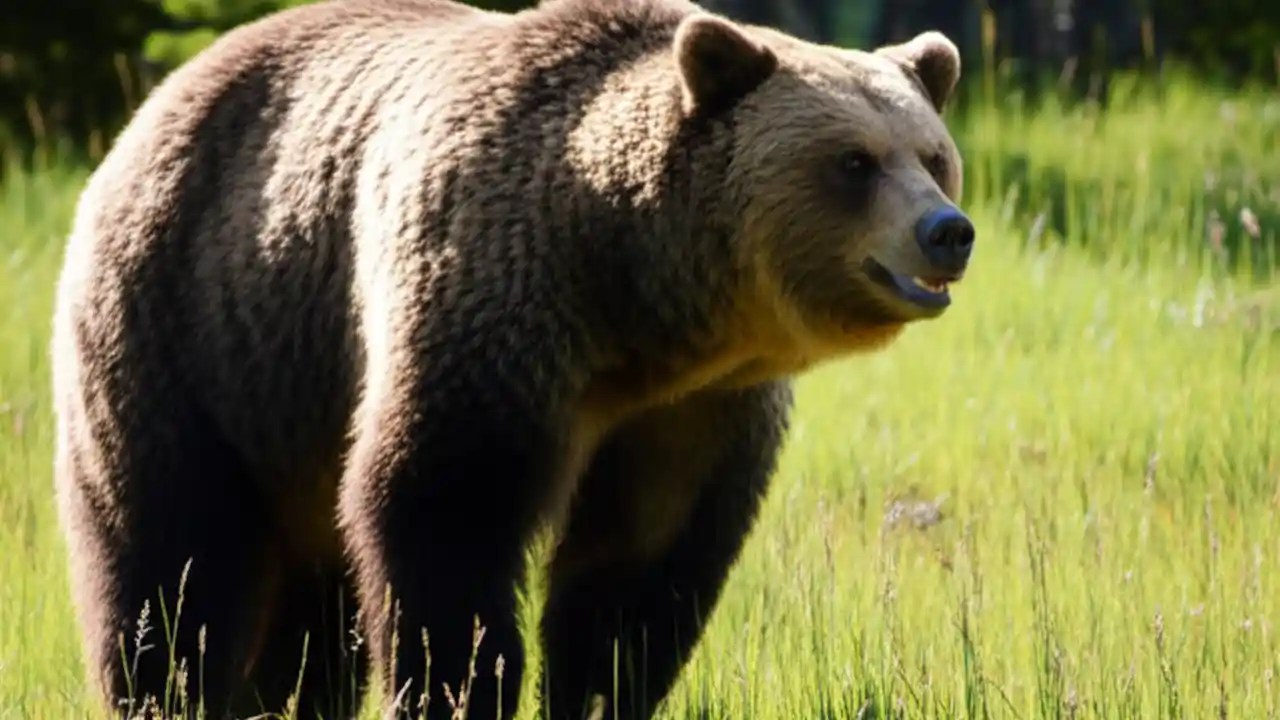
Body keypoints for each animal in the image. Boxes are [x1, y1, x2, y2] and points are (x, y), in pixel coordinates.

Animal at [49, 0, 974, 718]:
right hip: (189, 328)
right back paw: (168, 689)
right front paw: (459, 689)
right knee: (170, 561)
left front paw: (599, 691)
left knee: (305, 610)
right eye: (853, 161)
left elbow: (638, 567)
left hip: (287, 404)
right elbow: (442, 514)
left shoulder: (694, 408)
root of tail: (159, 99)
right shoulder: (492, 315)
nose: (948, 230)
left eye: (933, 156)